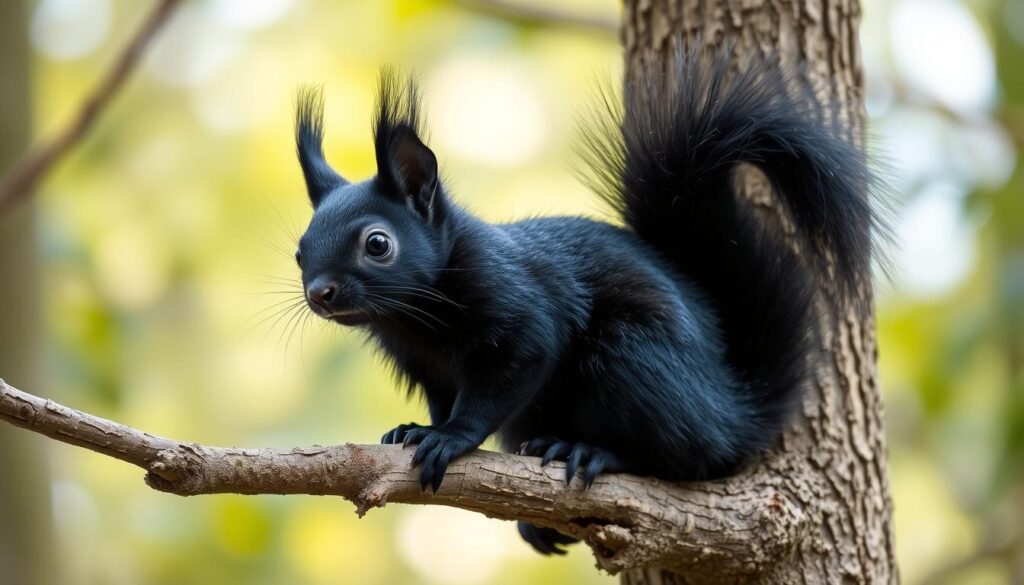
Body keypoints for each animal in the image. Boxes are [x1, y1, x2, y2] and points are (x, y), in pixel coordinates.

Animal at [291, 45, 883, 556]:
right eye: (299, 251)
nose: (320, 293)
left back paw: (591, 451)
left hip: (632, 357)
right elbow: (443, 398)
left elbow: (501, 382)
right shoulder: (427, 367)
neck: (416, 317)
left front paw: (451, 437)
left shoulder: (522, 309)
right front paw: (417, 429)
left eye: (377, 244)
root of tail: (735, 409)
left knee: (689, 458)